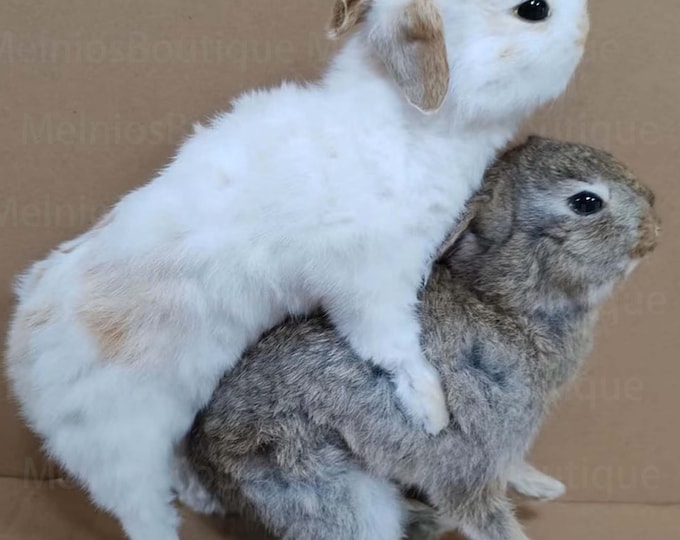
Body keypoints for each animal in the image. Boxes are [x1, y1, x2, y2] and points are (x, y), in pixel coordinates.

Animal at [5, 0, 589, 538]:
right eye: (532, 10)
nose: (586, 25)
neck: (404, 129)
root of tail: (21, 352)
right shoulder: (372, 282)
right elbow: (394, 346)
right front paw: (432, 410)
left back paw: (206, 498)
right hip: (122, 454)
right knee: (143, 511)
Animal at [186, 137, 660, 540]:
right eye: (586, 202)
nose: (654, 227)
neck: (503, 304)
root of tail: (207, 462)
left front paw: (544, 486)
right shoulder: (470, 463)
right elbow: (485, 517)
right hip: (330, 488)